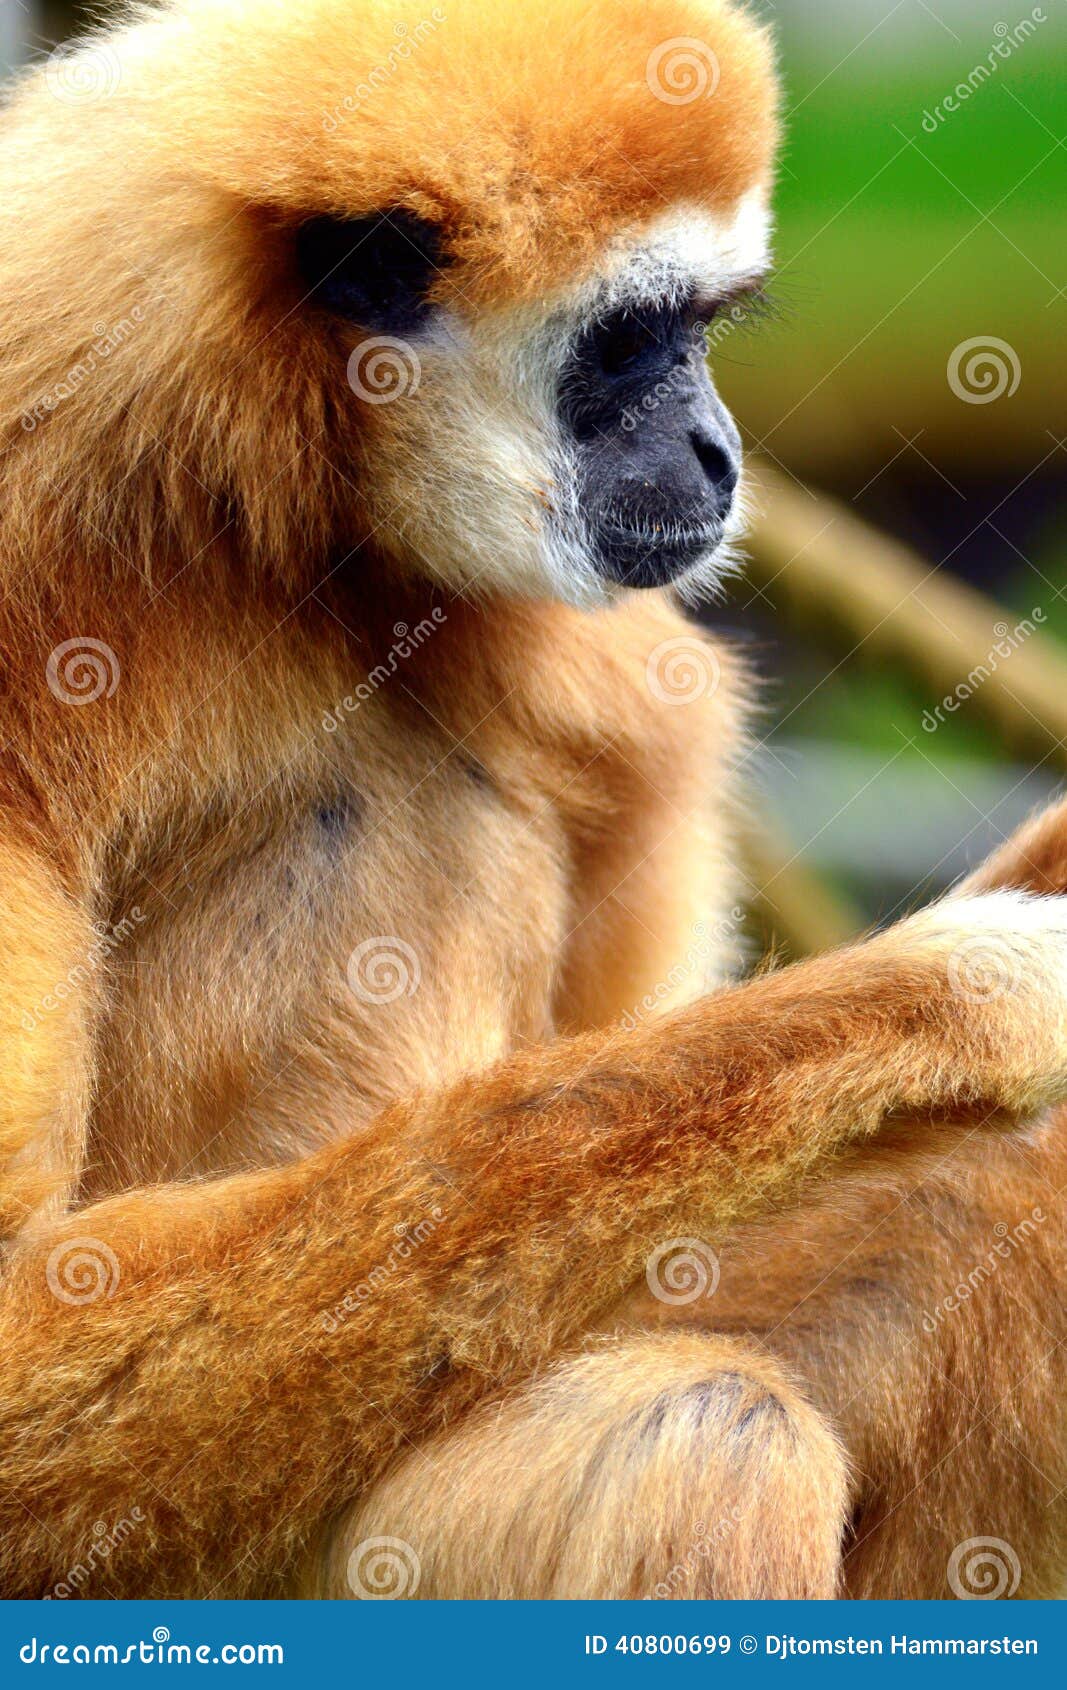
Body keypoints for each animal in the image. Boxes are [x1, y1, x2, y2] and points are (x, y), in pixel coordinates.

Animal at [0, 0, 1066, 1602]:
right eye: (627, 343)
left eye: (704, 331)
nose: (713, 449)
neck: (266, 519)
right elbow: (27, 1343)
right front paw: (962, 983)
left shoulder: (617, 673)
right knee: (707, 1430)